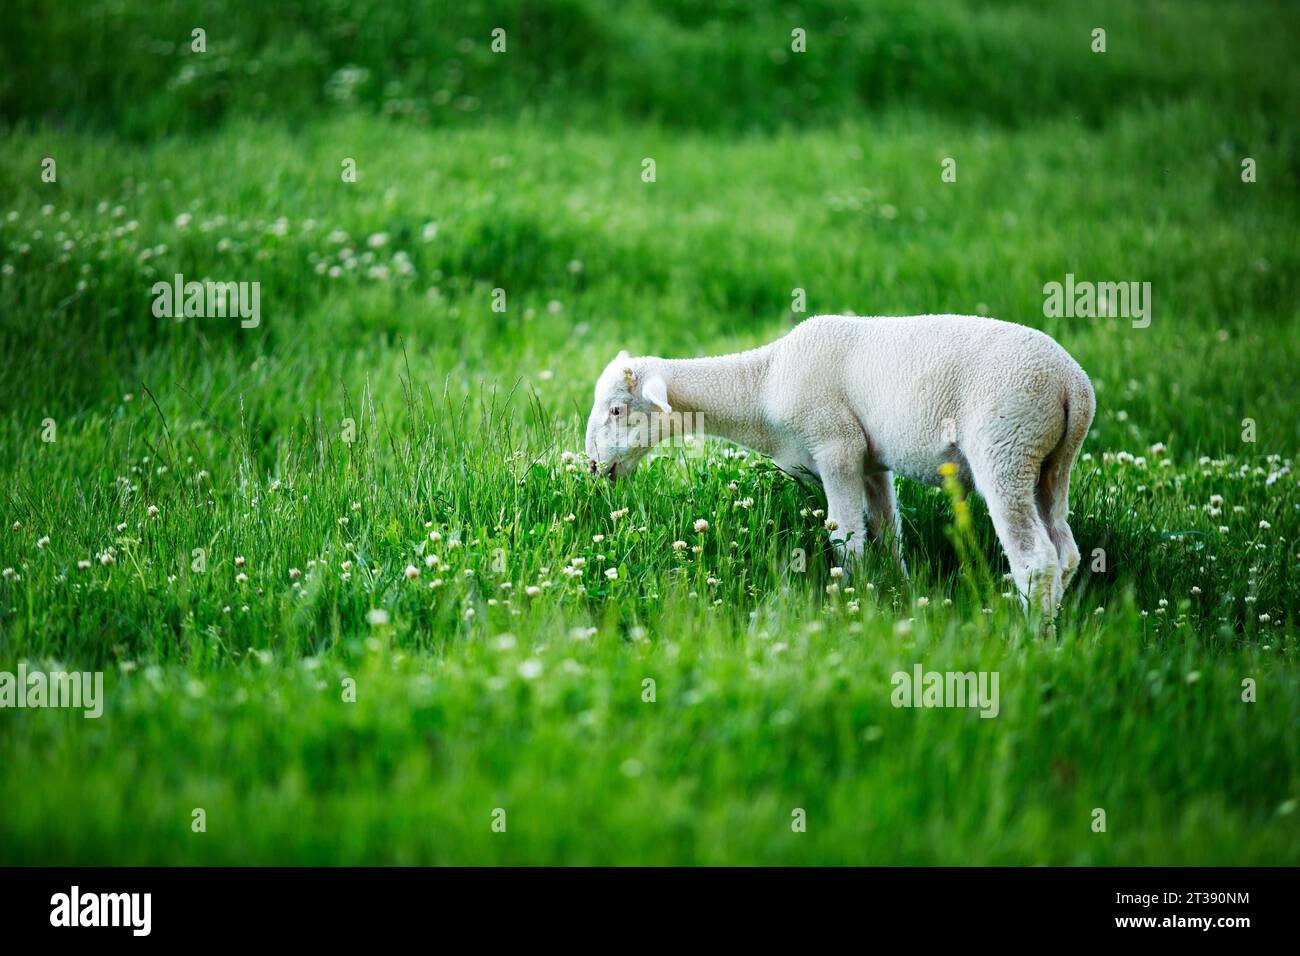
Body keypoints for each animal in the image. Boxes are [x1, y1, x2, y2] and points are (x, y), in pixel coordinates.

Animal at [584, 314, 1096, 615]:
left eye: (617, 410)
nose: (591, 467)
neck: (761, 384)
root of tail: (1072, 384)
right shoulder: (872, 461)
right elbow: (889, 536)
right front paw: (898, 595)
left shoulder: (837, 445)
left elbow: (846, 537)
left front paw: (852, 602)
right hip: (1050, 463)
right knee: (1066, 551)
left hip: (1005, 446)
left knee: (1035, 559)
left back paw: (1028, 639)